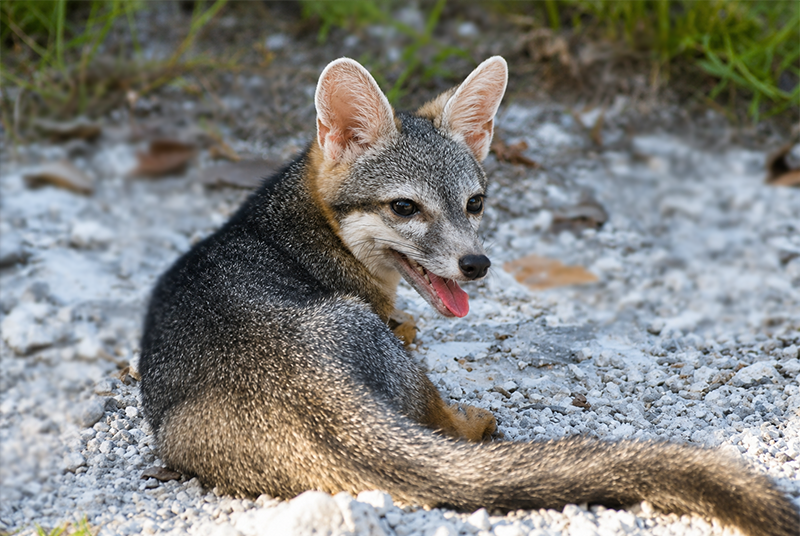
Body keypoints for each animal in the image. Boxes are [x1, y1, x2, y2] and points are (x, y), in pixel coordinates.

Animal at [139, 56, 799, 536]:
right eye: (405, 208)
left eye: (475, 204)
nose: (475, 265)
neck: (295, 229)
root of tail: (303, 393)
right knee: (440, 422)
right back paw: (471, 420)